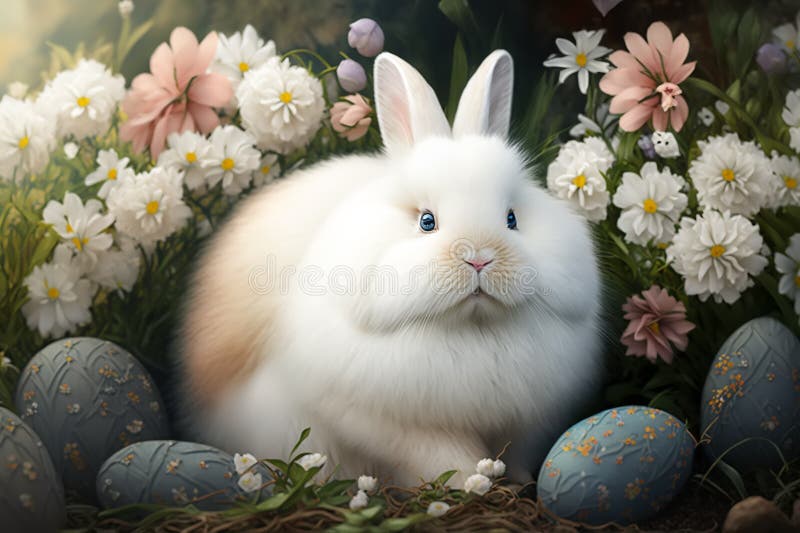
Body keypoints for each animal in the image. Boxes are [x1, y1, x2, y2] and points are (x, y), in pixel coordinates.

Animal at [178, 49, 603, 487]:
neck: (473, 329)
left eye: (512, 218)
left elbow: (516, 452)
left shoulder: (527, 420)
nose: (479, 257)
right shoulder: (388, 422)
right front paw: (472, 481)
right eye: (427, 221)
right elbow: (442, 455)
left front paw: (518, 481)